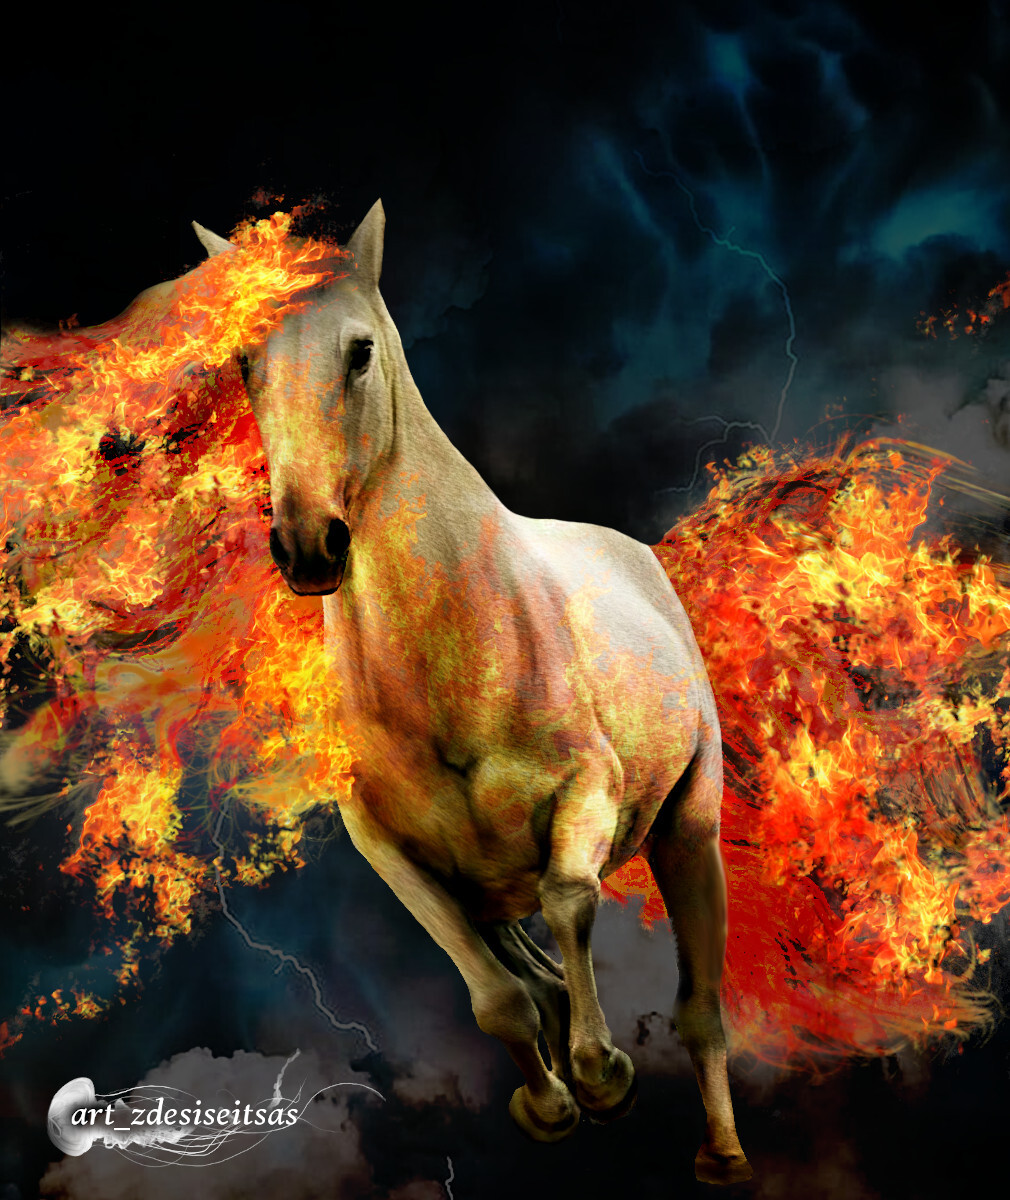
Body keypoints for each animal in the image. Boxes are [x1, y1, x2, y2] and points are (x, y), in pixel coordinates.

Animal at [193, 202, 752, 1185]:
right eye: (246, 362)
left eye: (360, 350)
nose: (308, 546)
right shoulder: (390, 848)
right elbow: (498, 999)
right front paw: (551, 1104)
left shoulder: (586, 792)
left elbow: (570, 899)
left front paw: (603, 1075)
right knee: (531, 977)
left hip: (688, 829)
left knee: (699, 1005)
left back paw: (722, 1156)